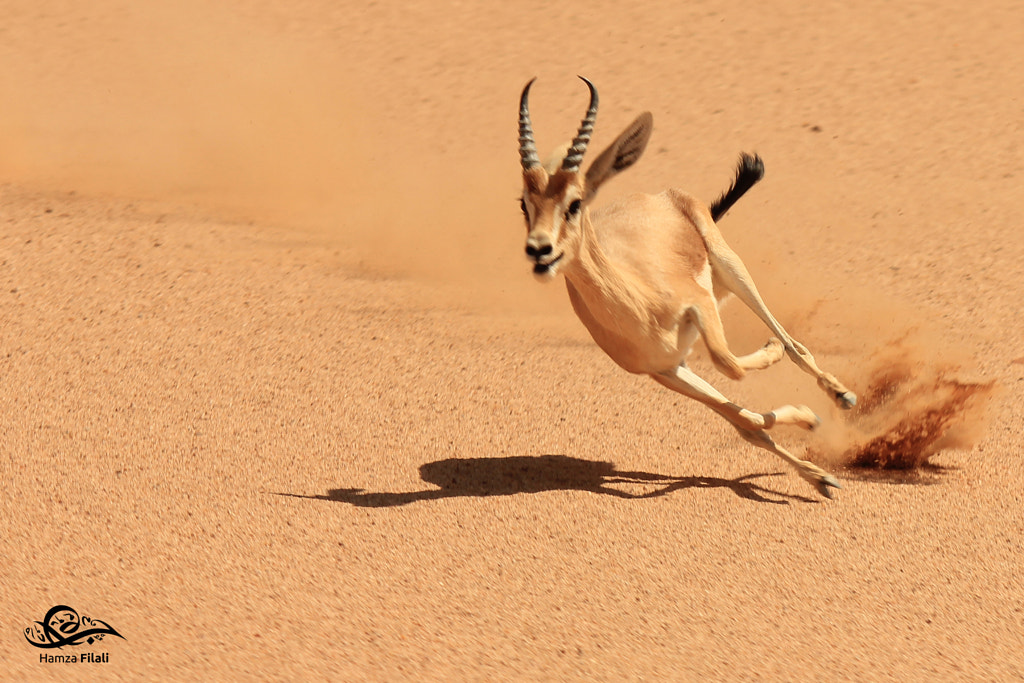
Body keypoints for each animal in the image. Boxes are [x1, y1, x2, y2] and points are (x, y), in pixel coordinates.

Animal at [517, 77, 857, 499]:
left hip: (731, 267)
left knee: (795, 346)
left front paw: (788, 381)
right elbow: (745, 422)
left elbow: (730, 366)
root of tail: (658, 196)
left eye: (574, 203)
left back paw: (838, 392)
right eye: (524, 204)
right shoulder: (664, 370)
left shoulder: (699, 305)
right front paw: (814, 450)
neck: (639, 309)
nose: (539, 249)